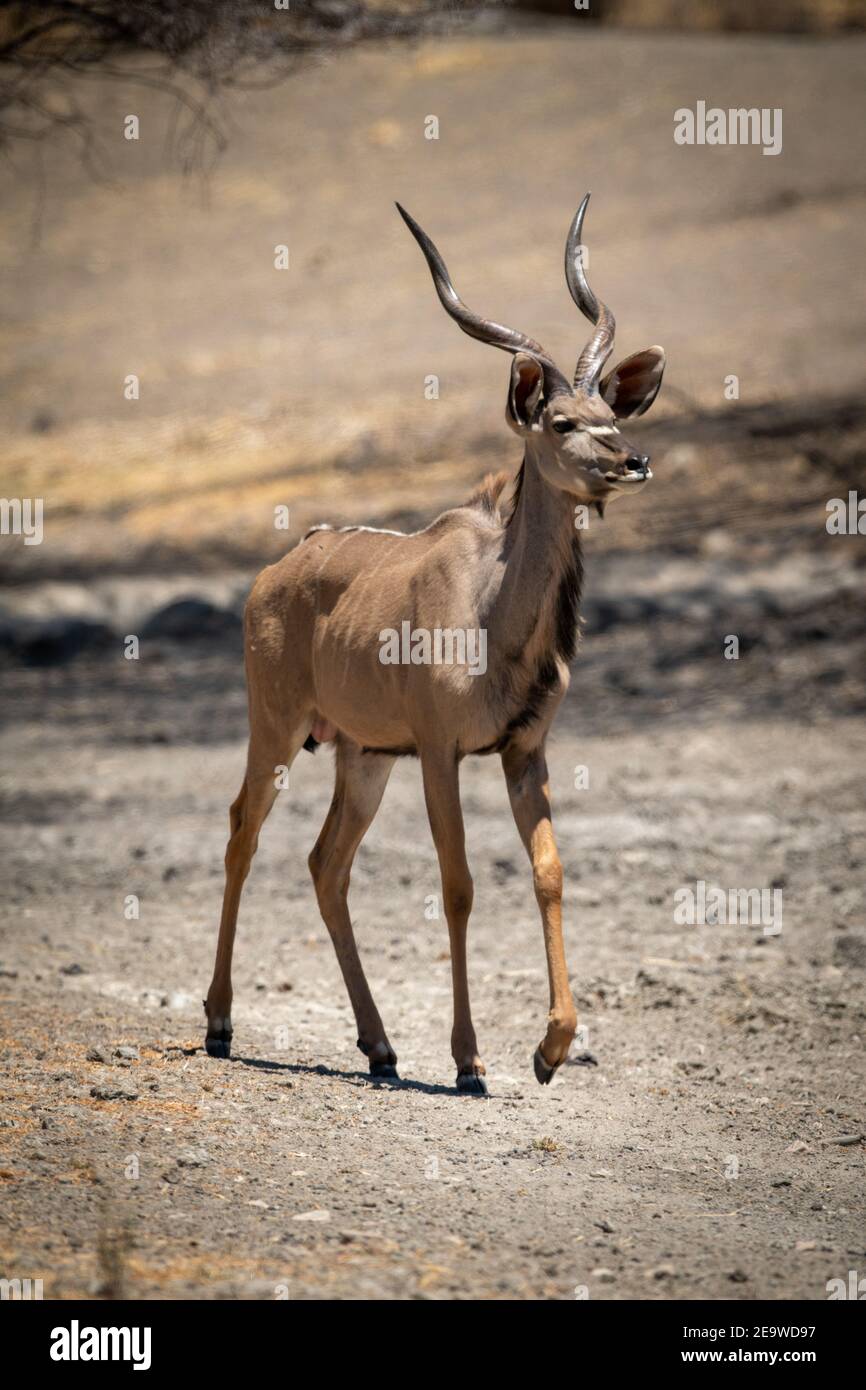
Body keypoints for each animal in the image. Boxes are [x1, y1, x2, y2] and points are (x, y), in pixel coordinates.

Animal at [204, 195, 665, 1092]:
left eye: (613, 415)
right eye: (563, 421)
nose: (633, 461)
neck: (494, 618)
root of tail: (283, 565)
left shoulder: (523, 750)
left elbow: (549, 873)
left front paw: (551, 1049)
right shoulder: (442, 751)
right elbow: (458, 885)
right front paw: (469, 1059)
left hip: (361, 756)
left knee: (325, 862)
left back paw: (380, 1049)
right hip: (278, 729)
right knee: (245, 831)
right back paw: (219, 1022)